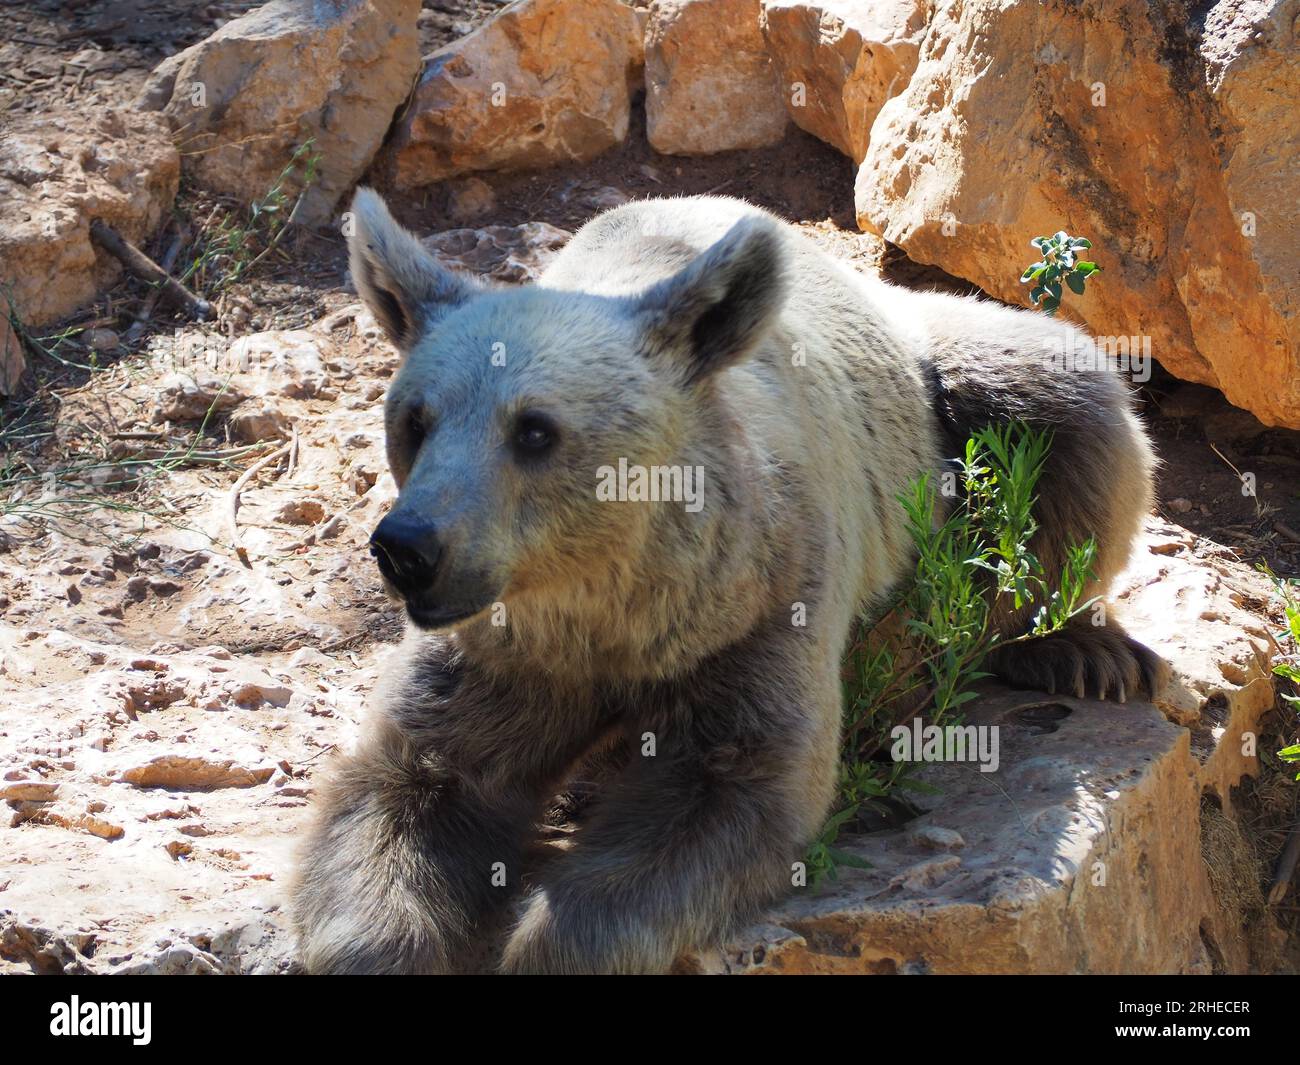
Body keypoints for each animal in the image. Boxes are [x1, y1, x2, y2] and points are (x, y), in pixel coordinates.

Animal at [291, 188, 1162, 974]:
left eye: (534, 430)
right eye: (416, 419)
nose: (409, 547)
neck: (611, 603)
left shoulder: (761, 607)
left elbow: (723, 792)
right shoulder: (503, 653)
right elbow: (411, 781)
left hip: (944, 385)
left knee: (1065, 403)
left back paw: (1086, 652)